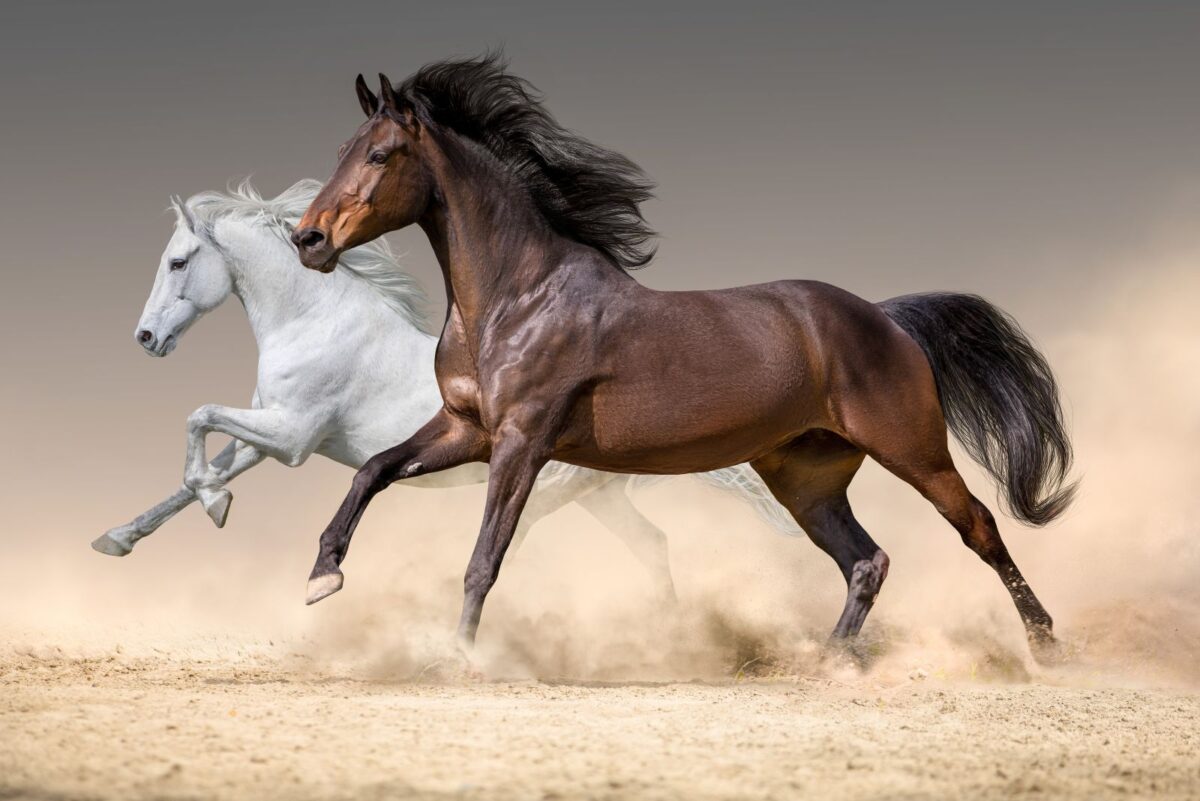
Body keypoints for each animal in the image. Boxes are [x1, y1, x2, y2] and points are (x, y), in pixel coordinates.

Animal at [92, 179, 800, 602]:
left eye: (178, 261)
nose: (146, 337)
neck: (314, 320)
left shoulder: (291, 437)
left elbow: (196, 417)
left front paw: (218, 504)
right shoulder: (266, 434)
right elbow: (188, 476)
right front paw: (120, 537)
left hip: (537, 487)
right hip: (595, 497)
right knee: (650, 544)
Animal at [292, 56, 1075, 660]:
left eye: (381, 155)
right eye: (339, 153)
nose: (308, 240)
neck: (517, 296)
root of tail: (886, 318)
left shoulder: (520, 441)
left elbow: (484, 558)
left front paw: (458, 657)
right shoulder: (467, 429)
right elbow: (372, 470)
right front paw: (323, 575)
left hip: (913, 450)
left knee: (980, 527)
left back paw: (1045, 645)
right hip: (806, 478)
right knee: (865, 560)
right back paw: (828, 660)